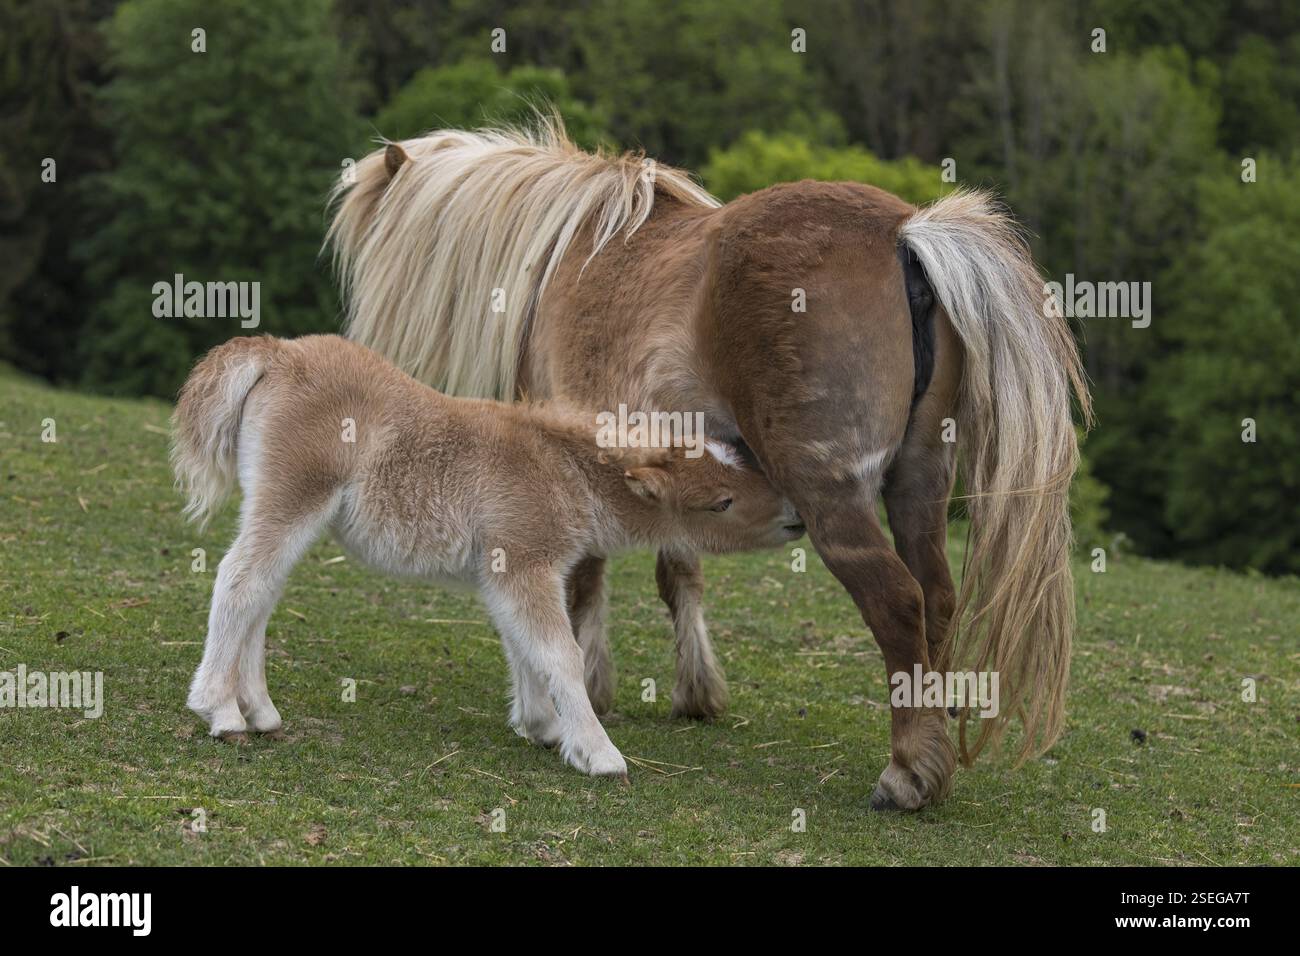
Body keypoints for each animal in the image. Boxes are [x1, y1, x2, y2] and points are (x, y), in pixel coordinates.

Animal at [326, 120, 1091, 810]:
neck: (560, 259)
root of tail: (906, 233)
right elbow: (678, 568)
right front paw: (694, 692)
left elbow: (587, 576)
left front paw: (588, 687)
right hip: (920, 482)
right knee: (936, 595)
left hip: (833, 494)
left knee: (897, 601)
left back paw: (906, 774)